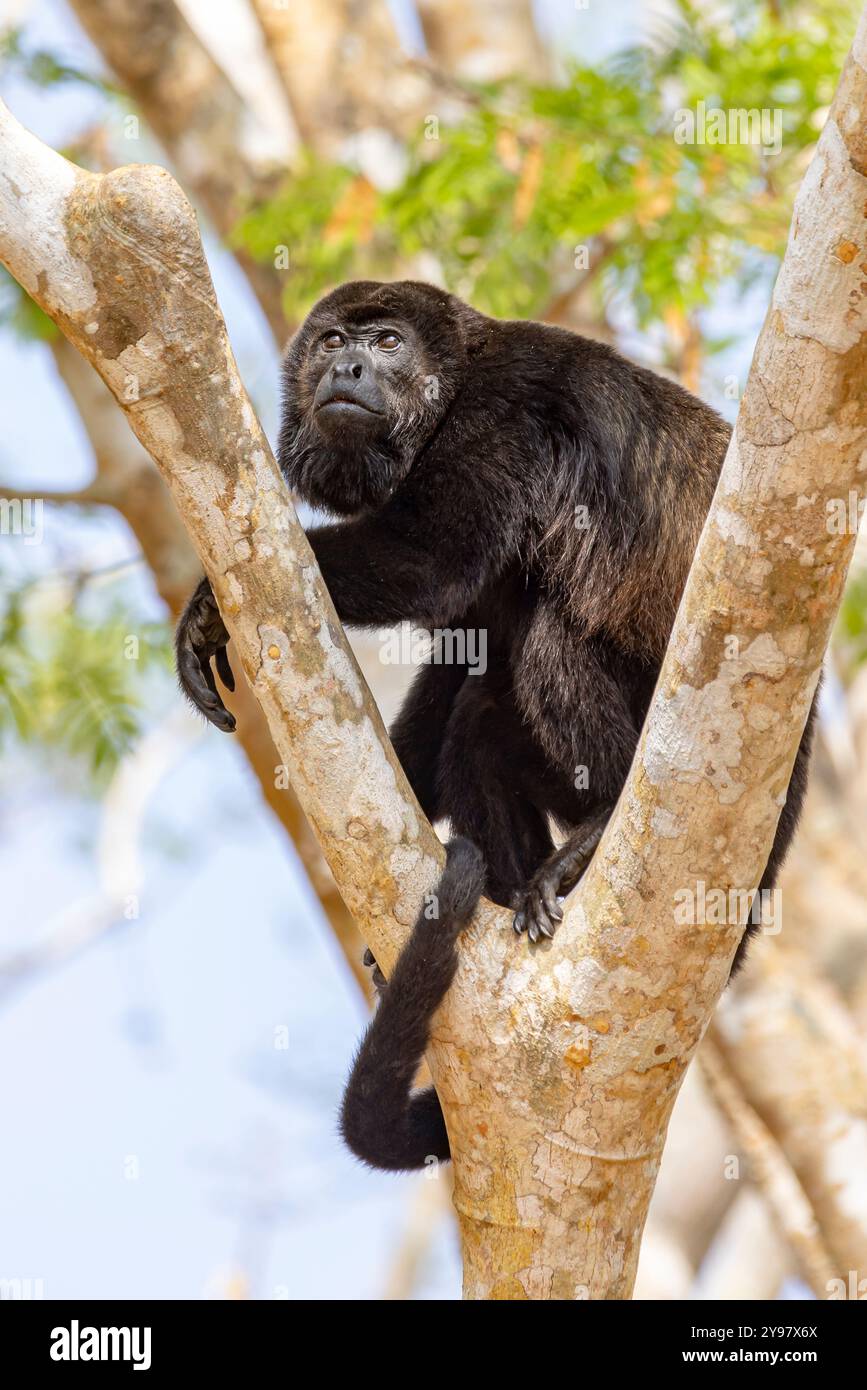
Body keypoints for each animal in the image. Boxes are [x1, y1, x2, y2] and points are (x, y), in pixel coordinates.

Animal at [175, 279, 816, 1170]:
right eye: (334, 339)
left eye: (386, 341)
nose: (346, 367)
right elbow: (460, 659)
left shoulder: (499, 417)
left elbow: (430, 560)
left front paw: (202, 608)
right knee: (478, 723)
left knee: (550, 639)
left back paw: (599, 824)